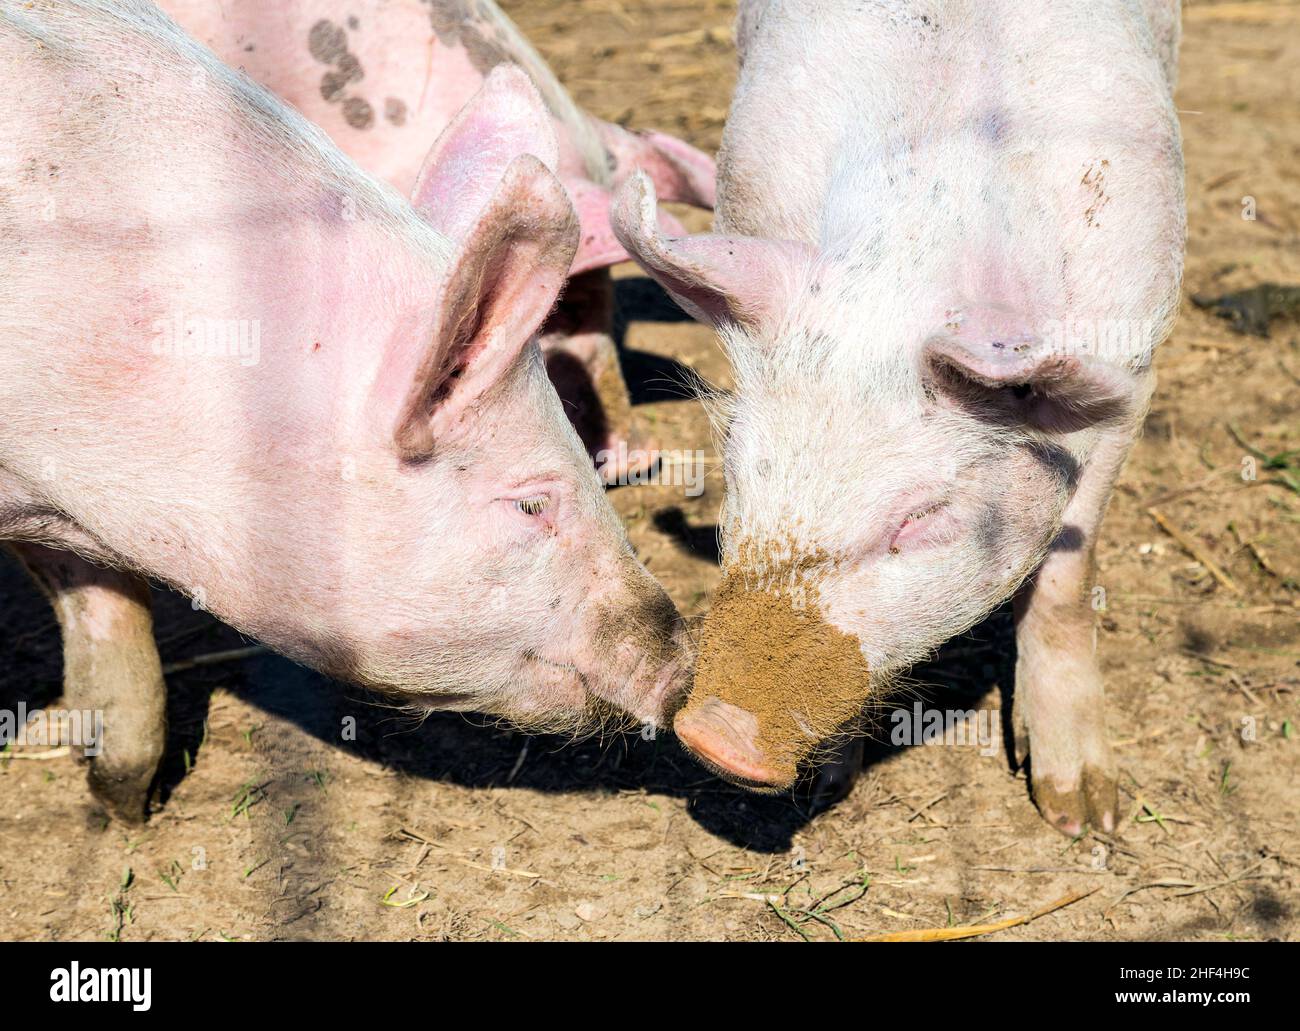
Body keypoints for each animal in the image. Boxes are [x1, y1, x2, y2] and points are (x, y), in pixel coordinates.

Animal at [614, 0, 1186, 835]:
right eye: (740, 465)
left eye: (922, 519)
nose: (715, 732)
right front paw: (826, 786)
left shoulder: (1131, 372)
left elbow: (1066, 580)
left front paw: (1082, 816)